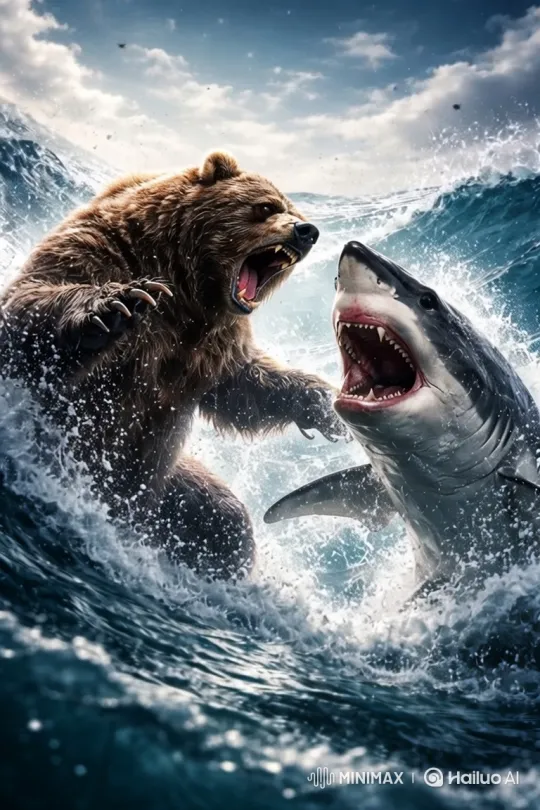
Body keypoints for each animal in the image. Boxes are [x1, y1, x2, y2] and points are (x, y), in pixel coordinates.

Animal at [0, 150, 346, 579]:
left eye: (293, 209)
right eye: (266, 206)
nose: (306, 231)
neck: (186, 286)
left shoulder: (212, 345)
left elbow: (243, 387)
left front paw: (323, 405)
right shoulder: (97, 250)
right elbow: (29, 305)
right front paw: (118, 304)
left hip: (164, 490)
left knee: (224, 523)